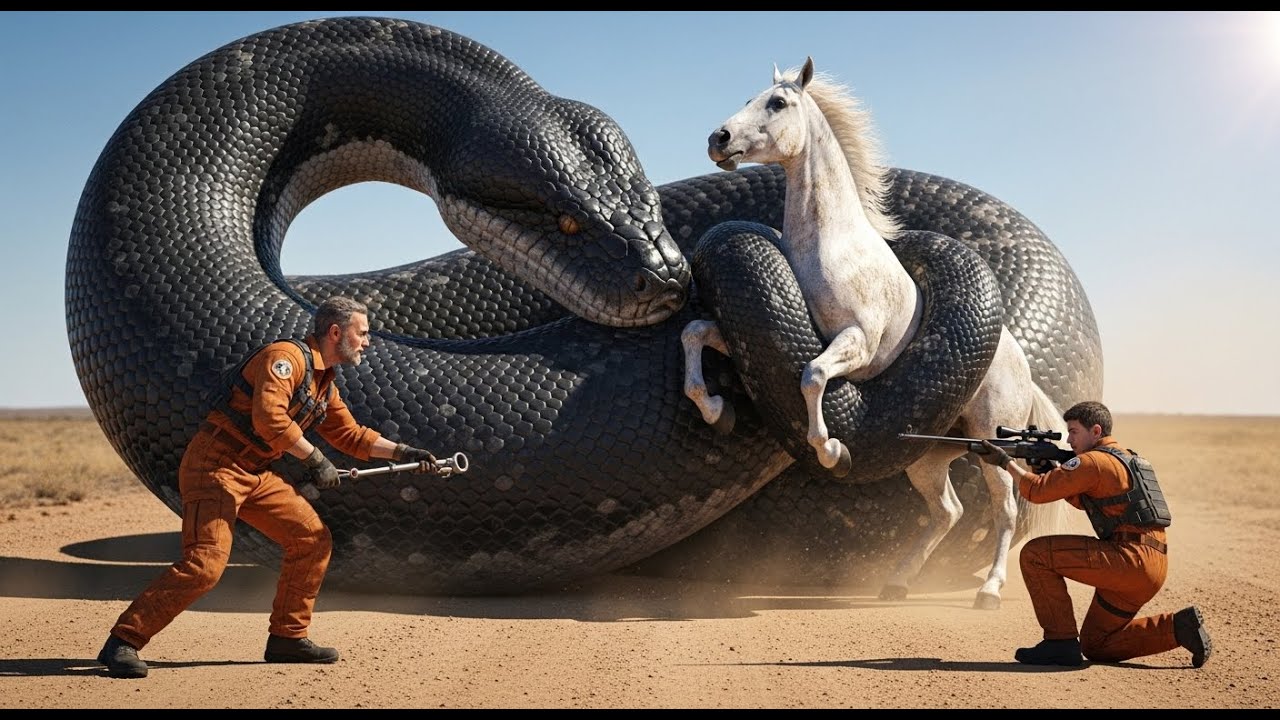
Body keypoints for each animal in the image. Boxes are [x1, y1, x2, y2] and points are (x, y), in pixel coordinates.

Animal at [682, 57, 1069, 609]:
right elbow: (695, 332)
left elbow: (812, 376)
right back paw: (897, 583)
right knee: (948, 510)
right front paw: (716, 410)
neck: (829, 245)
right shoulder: (749, 332)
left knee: (1006, 510)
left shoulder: (857, 343)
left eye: (777, 103)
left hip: (993, 444)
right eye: (750, 98)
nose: (718, 139)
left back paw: (989, 591)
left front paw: (833, 451)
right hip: (928, 458)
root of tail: (1023, 369)